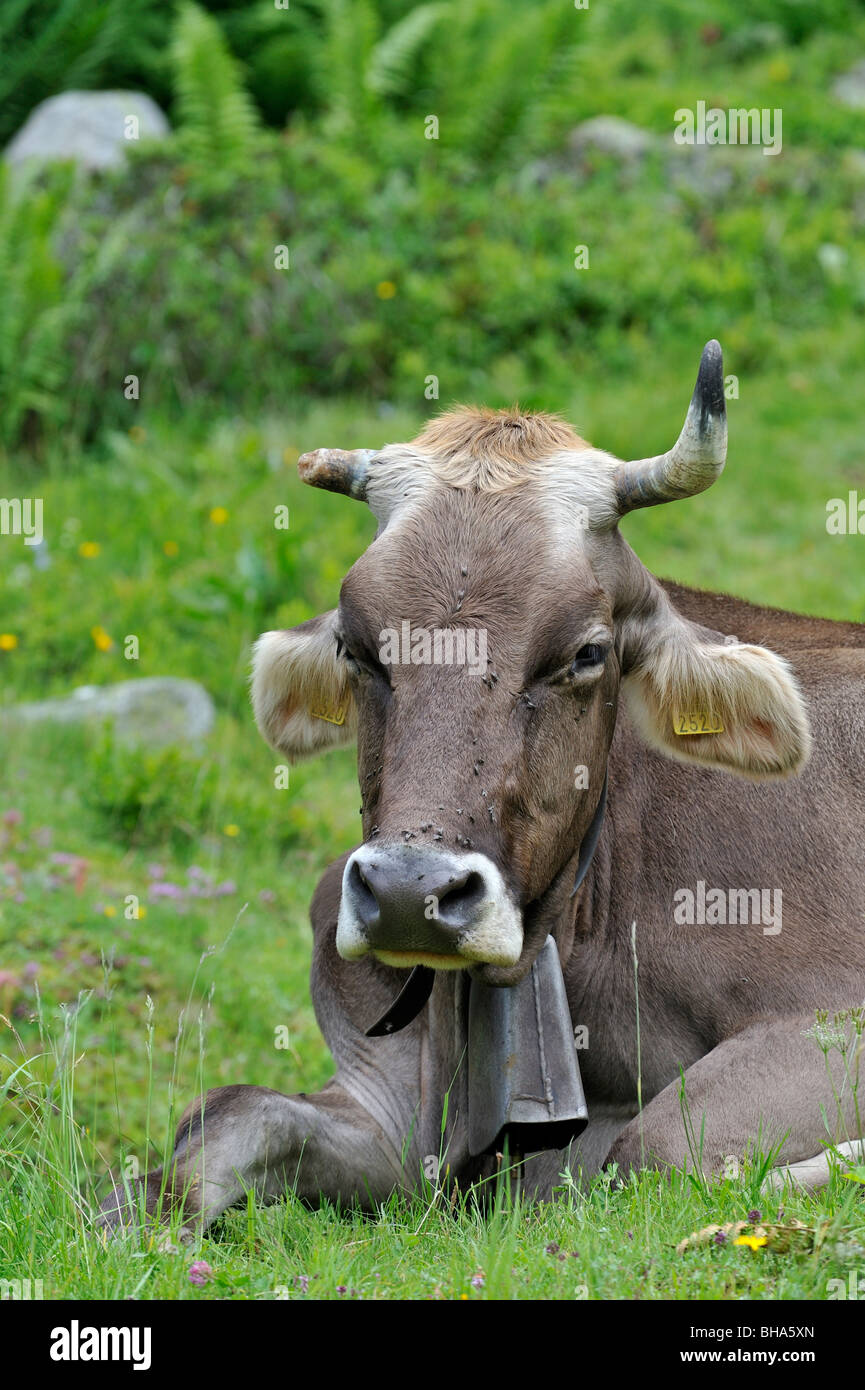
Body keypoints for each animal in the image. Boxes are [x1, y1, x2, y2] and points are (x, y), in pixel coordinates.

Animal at [99, 342, 865, 1234]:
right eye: (356, 648)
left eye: (586, 653)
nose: (407, 893)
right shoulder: (390, 1097)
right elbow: (228, 1113)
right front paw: (130, 1213)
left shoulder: (827, 1017)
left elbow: (655, 1150)